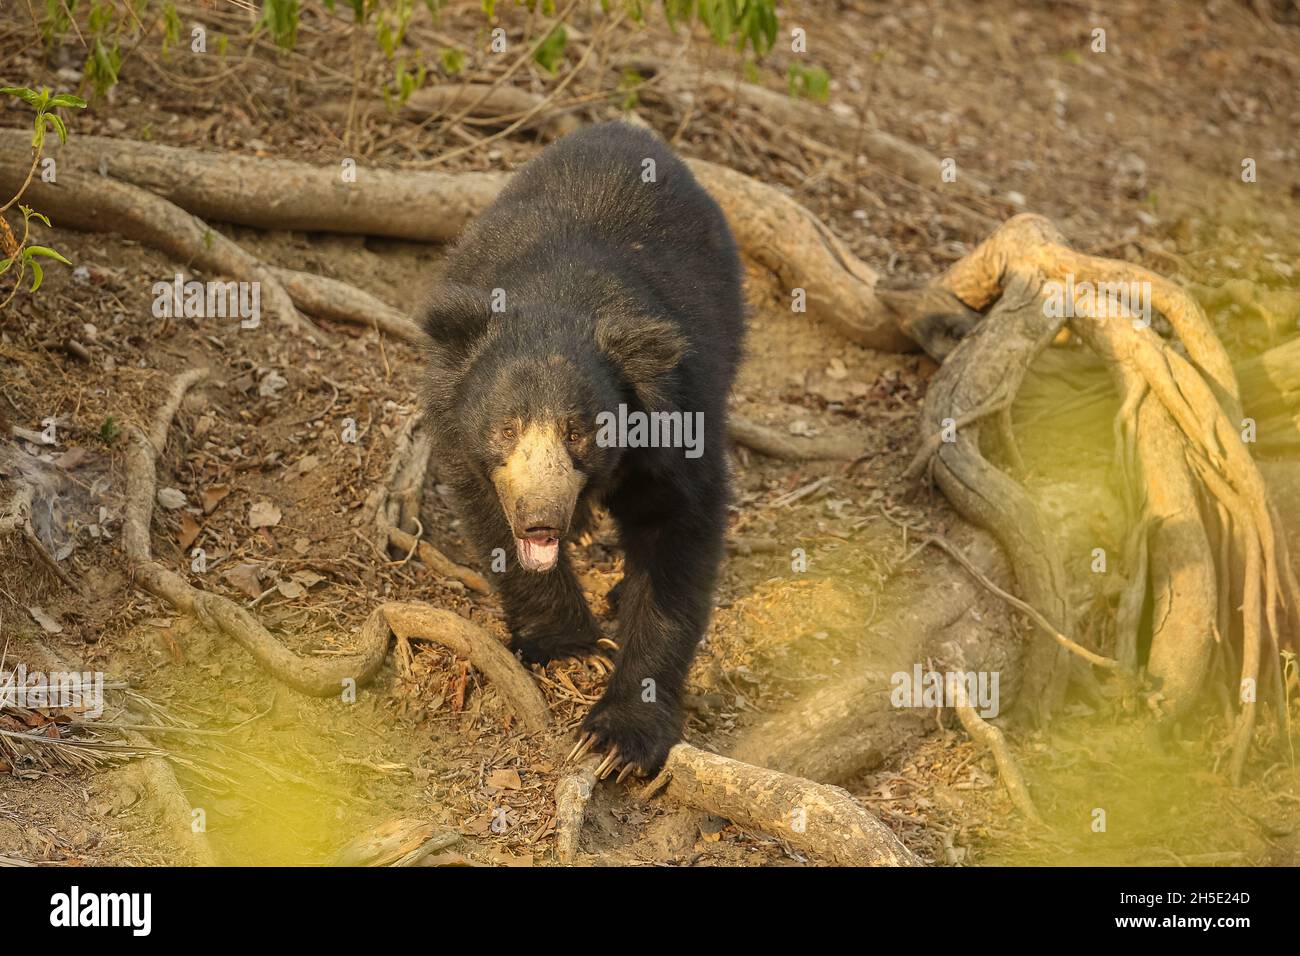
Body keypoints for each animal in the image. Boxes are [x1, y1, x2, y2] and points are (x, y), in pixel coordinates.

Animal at [419, 122, 744, 777]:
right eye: (506, 428)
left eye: (578, 432)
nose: (543, 521)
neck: (563, 295)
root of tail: (627, 129)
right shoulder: (464, 439)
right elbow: (489, 515)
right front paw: (573, 648)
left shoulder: (678, 417)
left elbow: (677, 539)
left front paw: (617, 738)